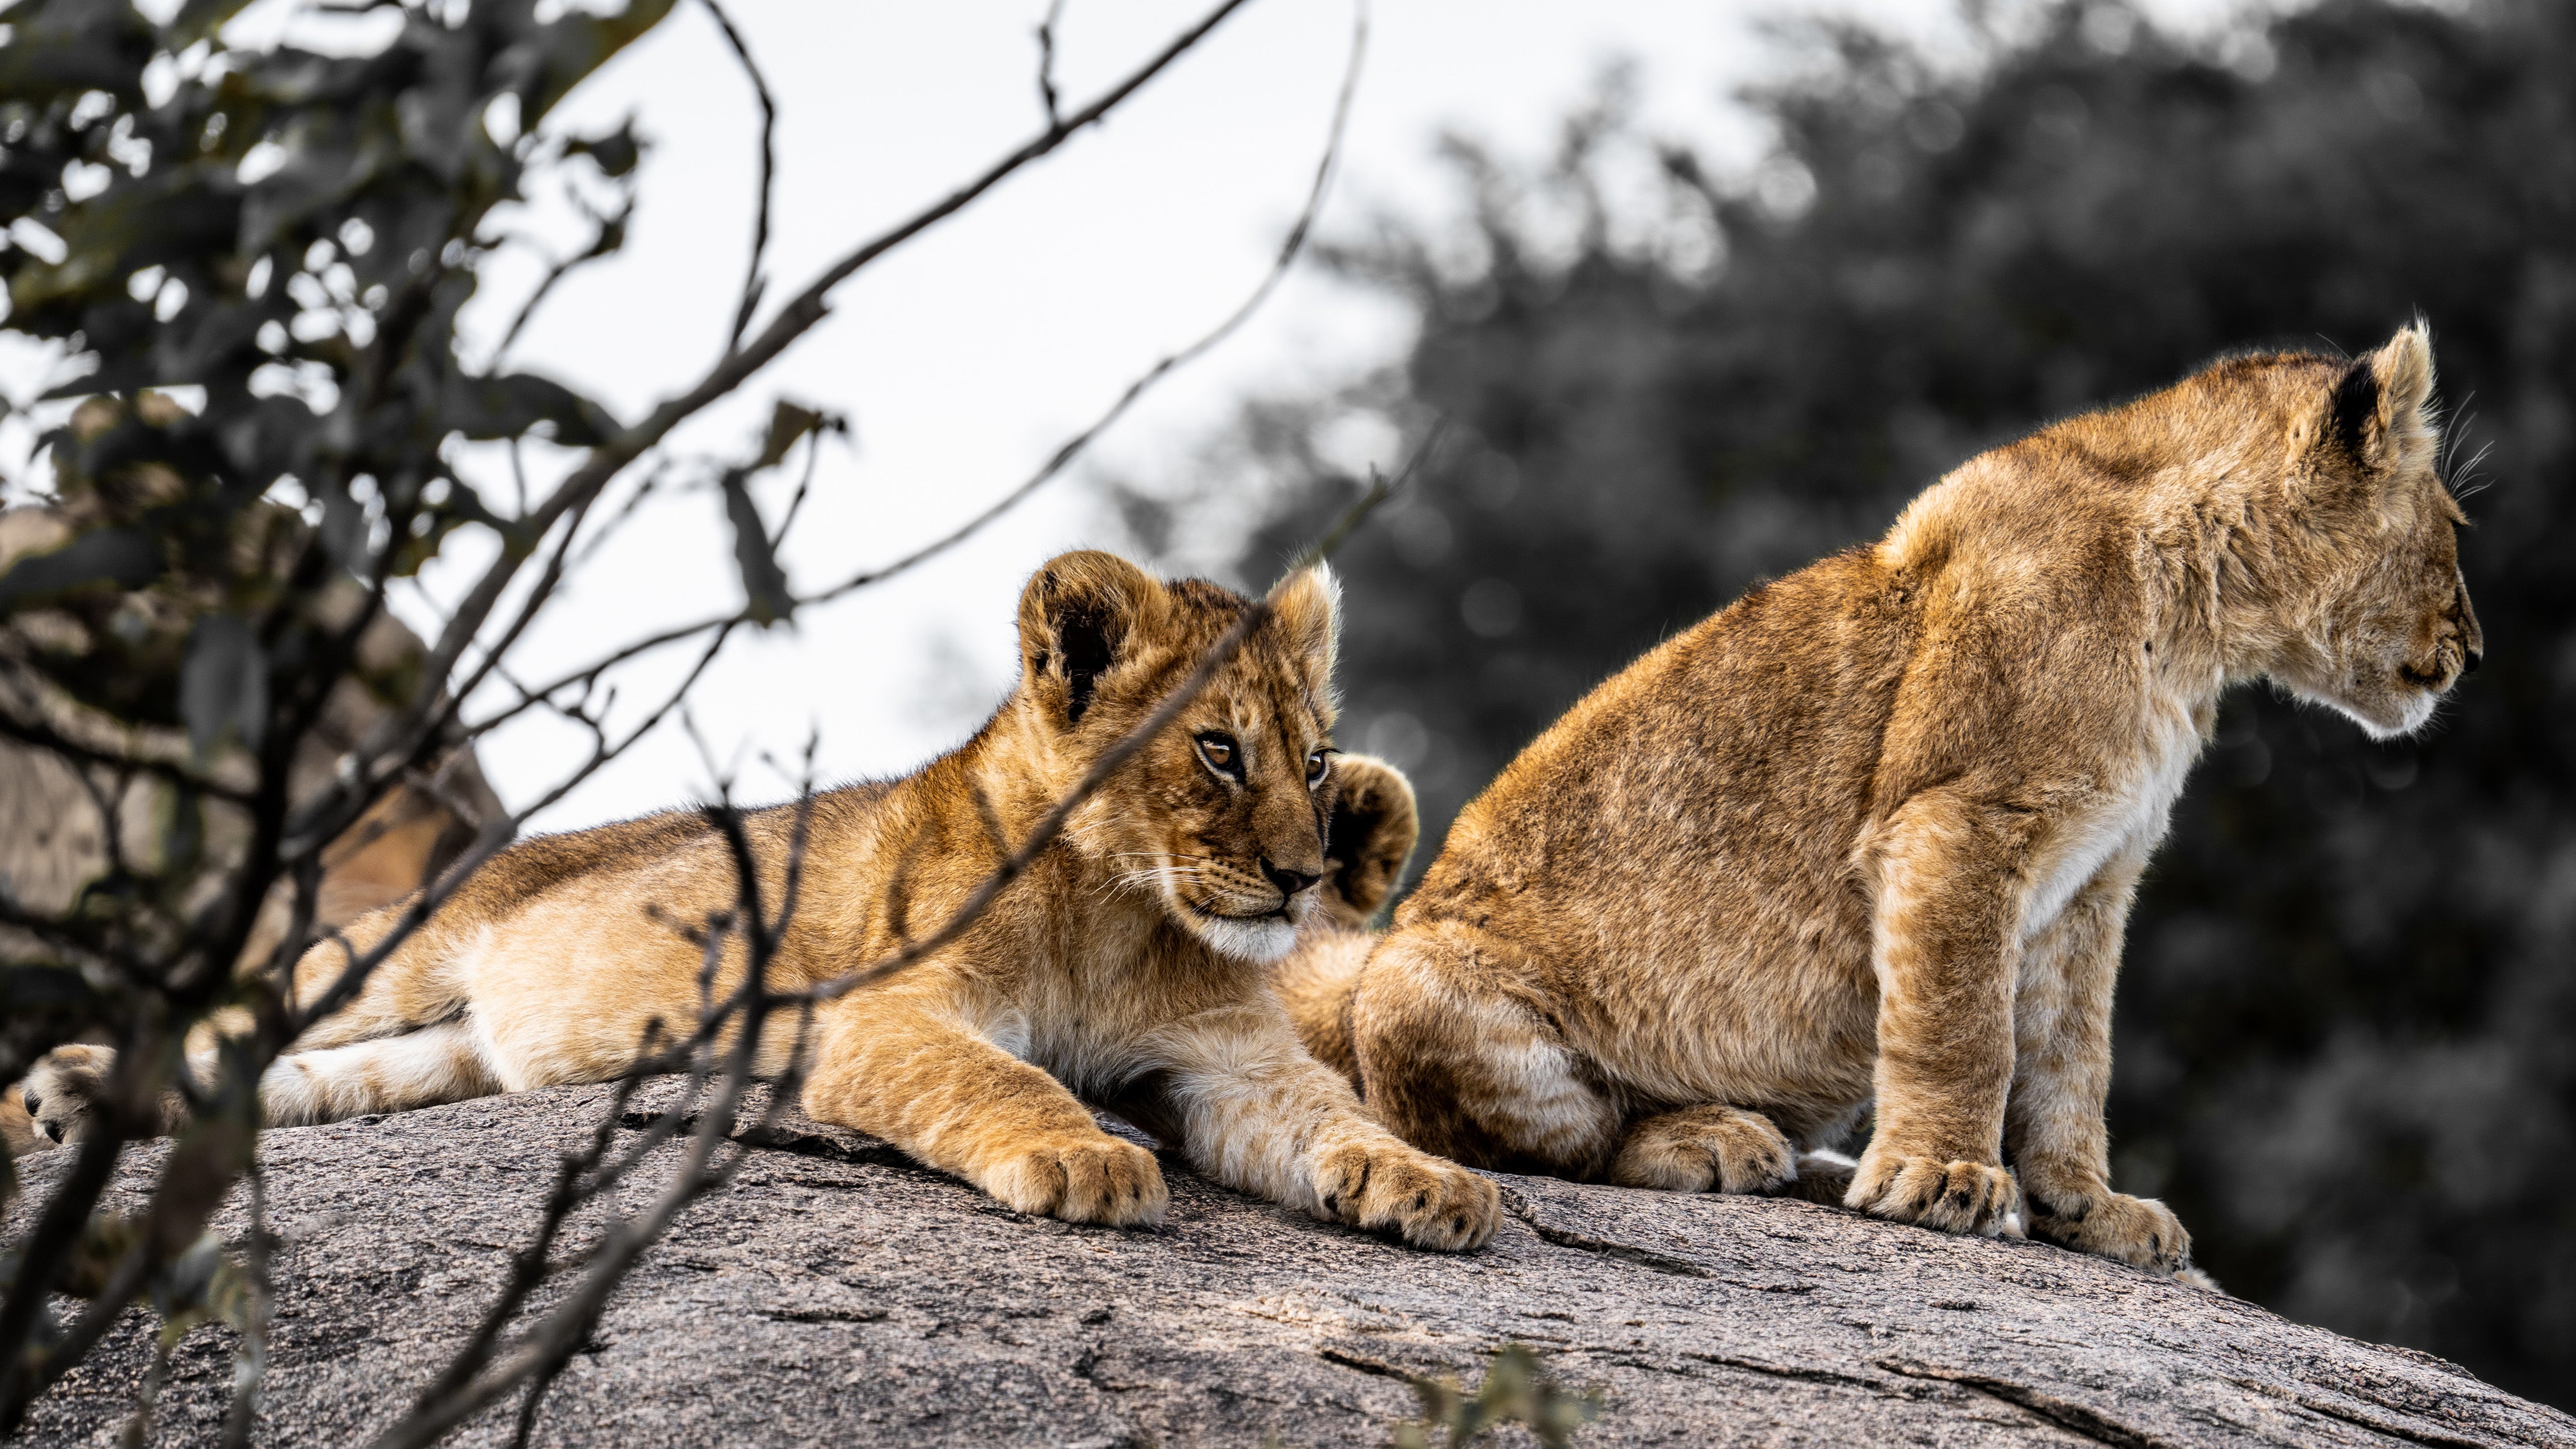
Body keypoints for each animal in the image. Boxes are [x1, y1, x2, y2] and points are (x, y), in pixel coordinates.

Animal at [26, 551, 1498, 1250]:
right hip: (386, 954)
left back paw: (90, 1101)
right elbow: (1009, 1077)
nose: (1305, 874)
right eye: (1218, 751)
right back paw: (62, 1086)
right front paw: (1083, 1154)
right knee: (248, 1016)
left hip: (441, 1059)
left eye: (1316, 760)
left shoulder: (1227, 1061)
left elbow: (1332, 1113)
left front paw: (1433, 1183)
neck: (1124, 916)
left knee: (297, 1083)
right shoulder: (867, 1012)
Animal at [1286, 324, 2479, 1275]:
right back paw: (1720, 1141)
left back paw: (1813, 1163)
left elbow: (2072, 1058)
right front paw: (1946, 1180)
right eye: (2457, 530)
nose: (2475, 644)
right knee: (1545, 1138)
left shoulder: (2096, 879)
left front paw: (2086, 1208)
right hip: (1416, 984)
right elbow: (1965, 1024)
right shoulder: (1959, 817)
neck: (2198, 625)